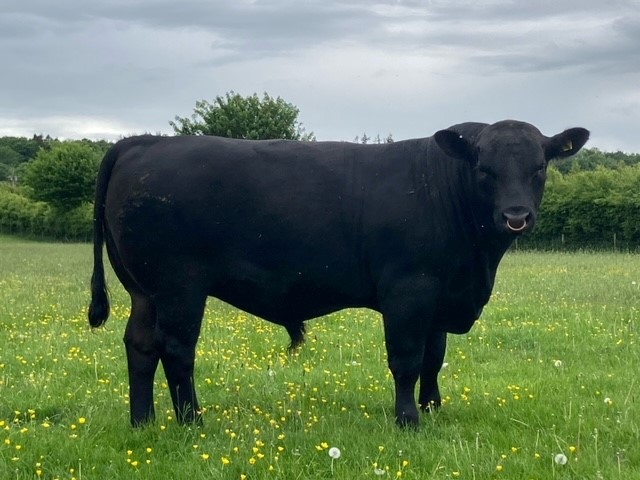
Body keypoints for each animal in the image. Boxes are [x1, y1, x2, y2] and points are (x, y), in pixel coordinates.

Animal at [88, 120, 589, 428]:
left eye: (539, 167)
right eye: (485, 168)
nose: (516, 216)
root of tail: (142, 141)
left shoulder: (439, 298)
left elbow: (434, 358)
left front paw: (432, 409)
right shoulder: (409, 292)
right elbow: (407, 360)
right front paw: (408, 420)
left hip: (144, 290)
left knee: (140, 346)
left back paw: (142, 421)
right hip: (179, 287)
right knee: (177, 350)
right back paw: (192, 421)